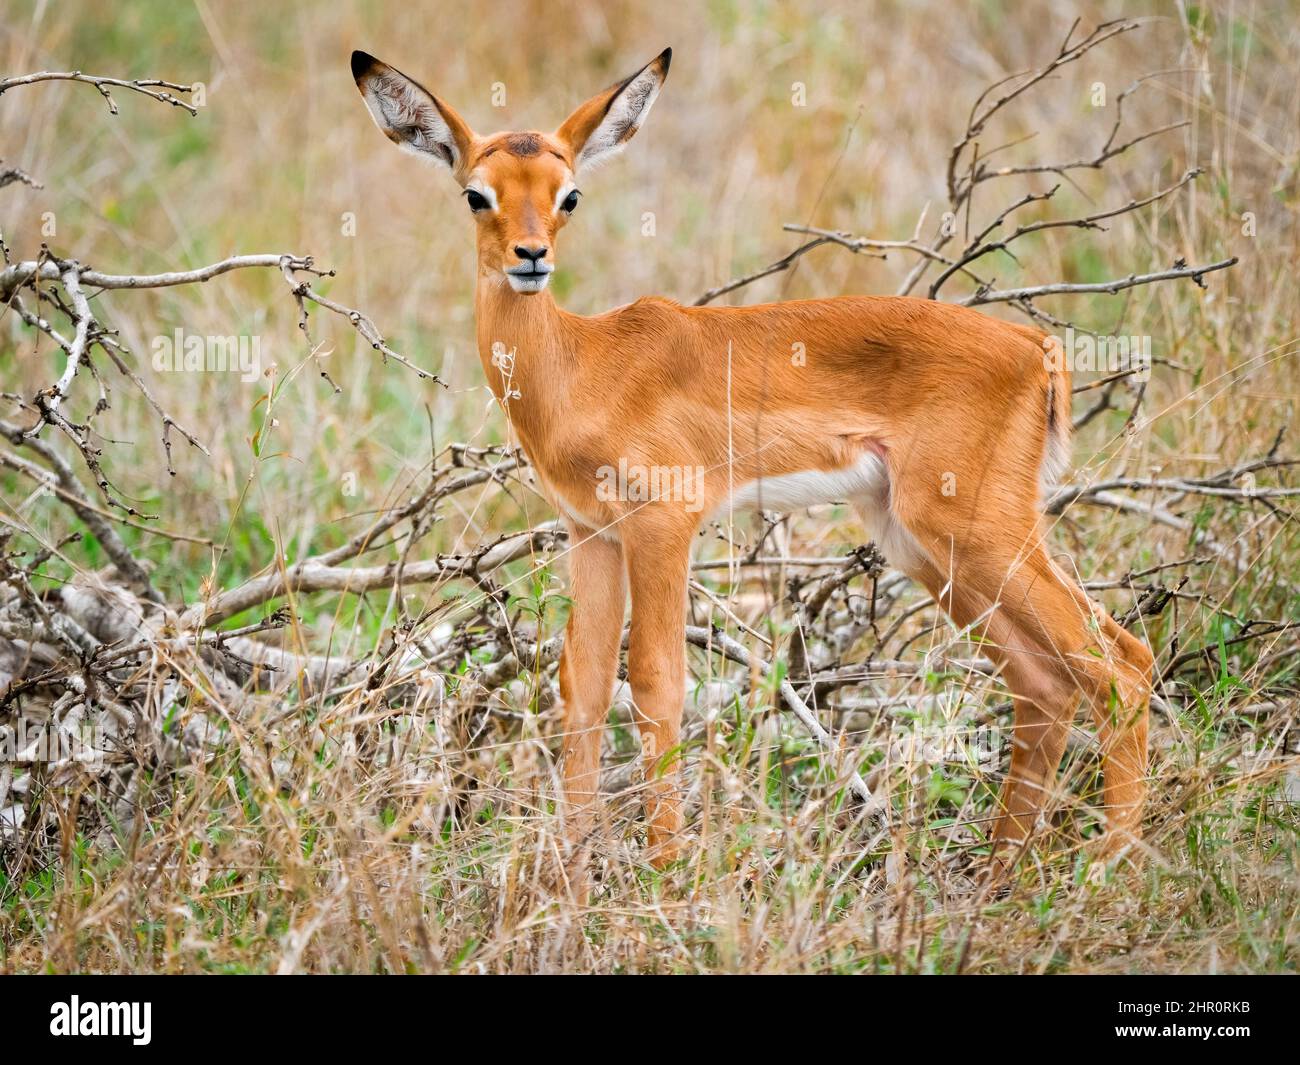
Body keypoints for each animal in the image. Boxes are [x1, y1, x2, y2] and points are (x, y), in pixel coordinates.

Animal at [349, 46, 1154, 881]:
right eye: (477, 193)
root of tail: (1039, 349)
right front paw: (572, 877)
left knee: (1123, 663)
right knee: (1044, 681)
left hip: (979, 530)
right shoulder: (590, 532)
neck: (583, 364)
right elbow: (585, 684)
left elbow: (657, 681)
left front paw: (667, 874)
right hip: (922, 544)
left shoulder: (663, 526)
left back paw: (1108, 868)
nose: (531, 258)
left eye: (569, 194)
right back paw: (1001, 875)